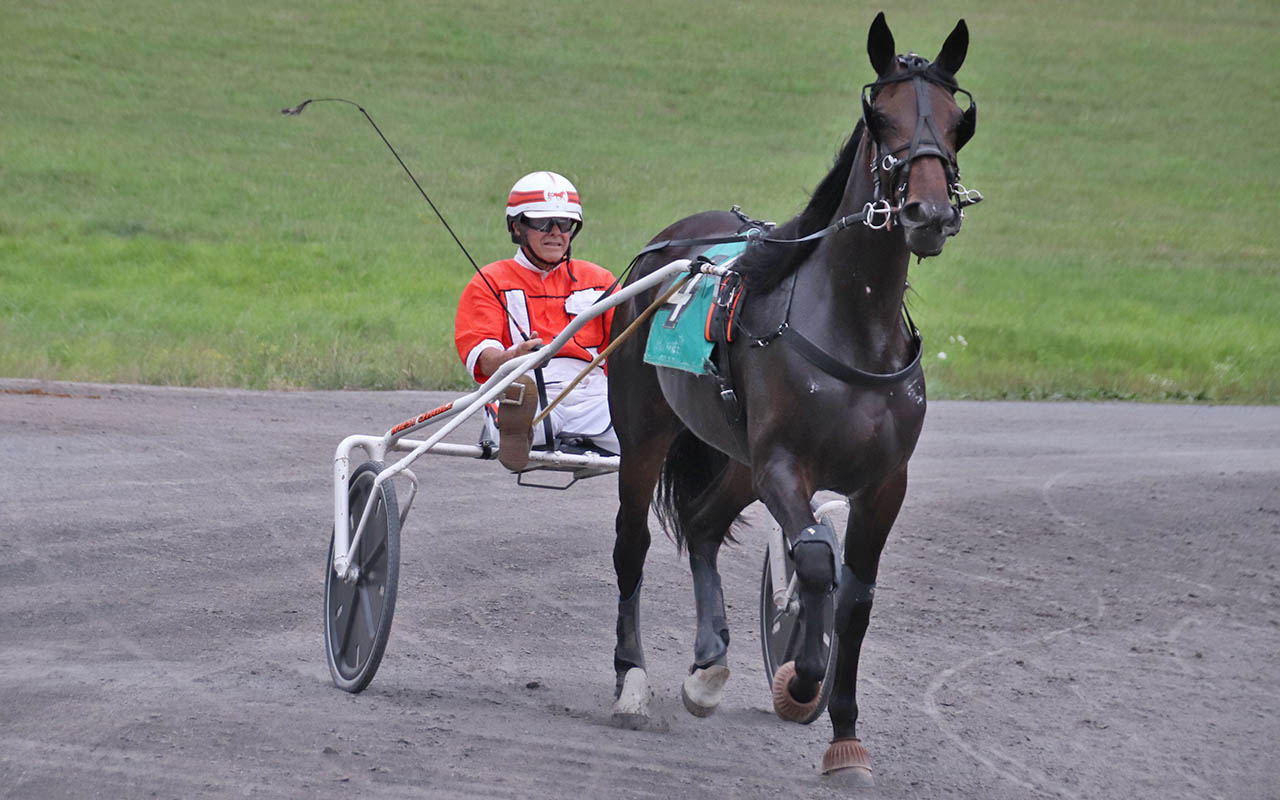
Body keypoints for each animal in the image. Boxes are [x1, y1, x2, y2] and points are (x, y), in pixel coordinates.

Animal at [604, 13, 979, 780]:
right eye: (882, 116)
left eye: (960, 120)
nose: (928, 213)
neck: (854, 328)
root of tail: (666, 245)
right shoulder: (784, 465)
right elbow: (811, 563)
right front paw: (802, 679)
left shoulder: (883, 483)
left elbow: (856, 595)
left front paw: (844, 735)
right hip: (648, 435)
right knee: (632, 544)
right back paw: (632, 681)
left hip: (738, 460)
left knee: (704, 525)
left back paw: (709, 665)